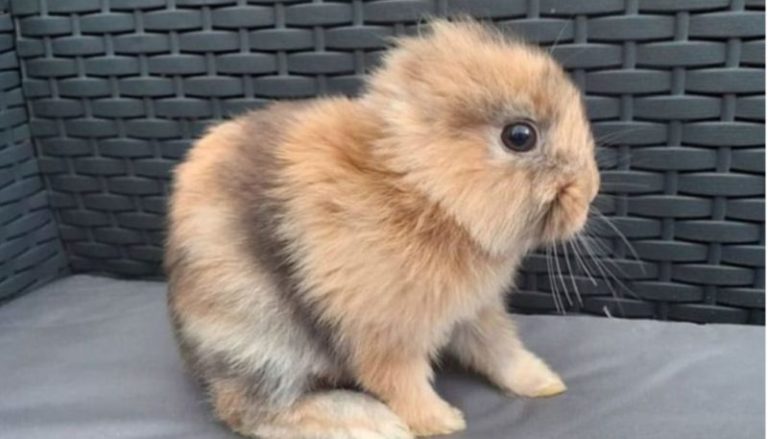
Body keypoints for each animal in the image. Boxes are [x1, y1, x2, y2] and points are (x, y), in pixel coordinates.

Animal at [165, 18, 599, 439]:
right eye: (520, 136)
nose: (590, 191)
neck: (425, 191)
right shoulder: (385, 334)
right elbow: (401, 383)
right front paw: (441, 421)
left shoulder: (475, 311)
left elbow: (499, 350)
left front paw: (543, 382)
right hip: (263, 339)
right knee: (250, 407)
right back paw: (369, 423)